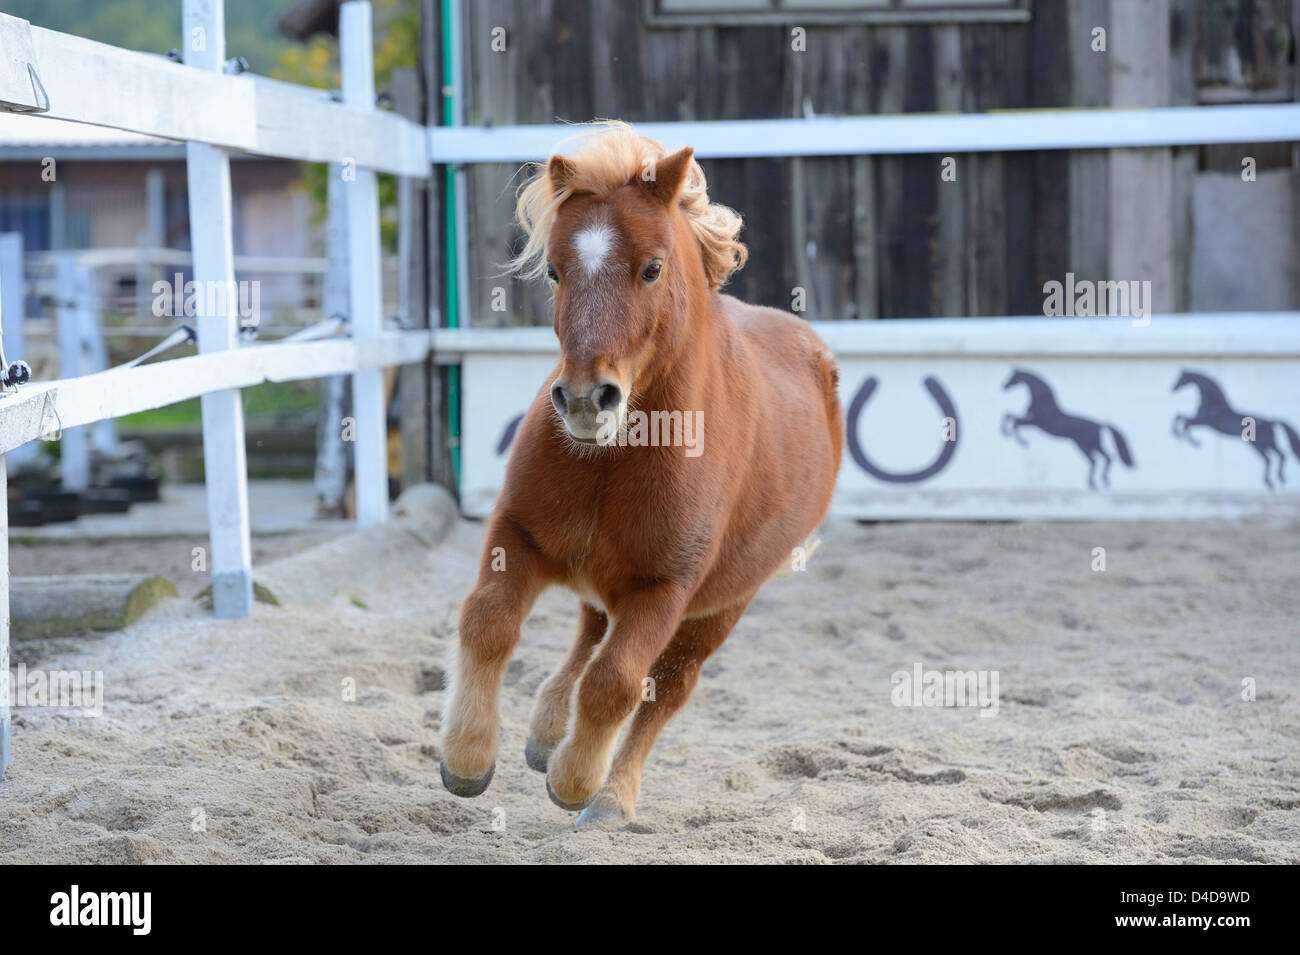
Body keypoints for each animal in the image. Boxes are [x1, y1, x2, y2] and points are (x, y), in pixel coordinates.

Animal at [438, 122, 844, 825]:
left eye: (652, 268)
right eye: (554, 270)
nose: (583, 400)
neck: (617, 458)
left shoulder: (665, 589)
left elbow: (619, 681)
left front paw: (578, 781)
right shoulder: (516, 536)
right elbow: (488, 624)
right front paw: (467, 758)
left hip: (723, 606)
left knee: (667, 686)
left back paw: (612, 796)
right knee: (590, 628)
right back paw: (546, 731)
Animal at [1002, 368, 1134, 490]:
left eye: (1013, 376)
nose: (1003, 387)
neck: (1043, 403)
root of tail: (1099, 425)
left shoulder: (1034, 423)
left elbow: (1014, 422)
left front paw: (1021, 441)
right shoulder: (1029, 421)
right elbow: (1008, 416)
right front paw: (1005, 433)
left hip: (1084, 446)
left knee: (1094, 461)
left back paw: (1092, 484)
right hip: (1095, 445)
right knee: (1108, 458)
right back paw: (1104, 481)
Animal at [1172, 369, 1300, 490]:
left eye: (1182, 377)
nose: (1173, 388)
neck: (1214, 403)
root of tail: (1271, 421)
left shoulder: (1203, 422)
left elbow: (1184, 422)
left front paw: (1193, 441)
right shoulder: (1200, 421)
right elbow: (1180, 417)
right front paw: (1181, 435)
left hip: (1260, 444)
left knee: (1271, 459)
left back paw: (1270, 481)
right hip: (1267, 443)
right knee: (1280, 455)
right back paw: (1279, 478)